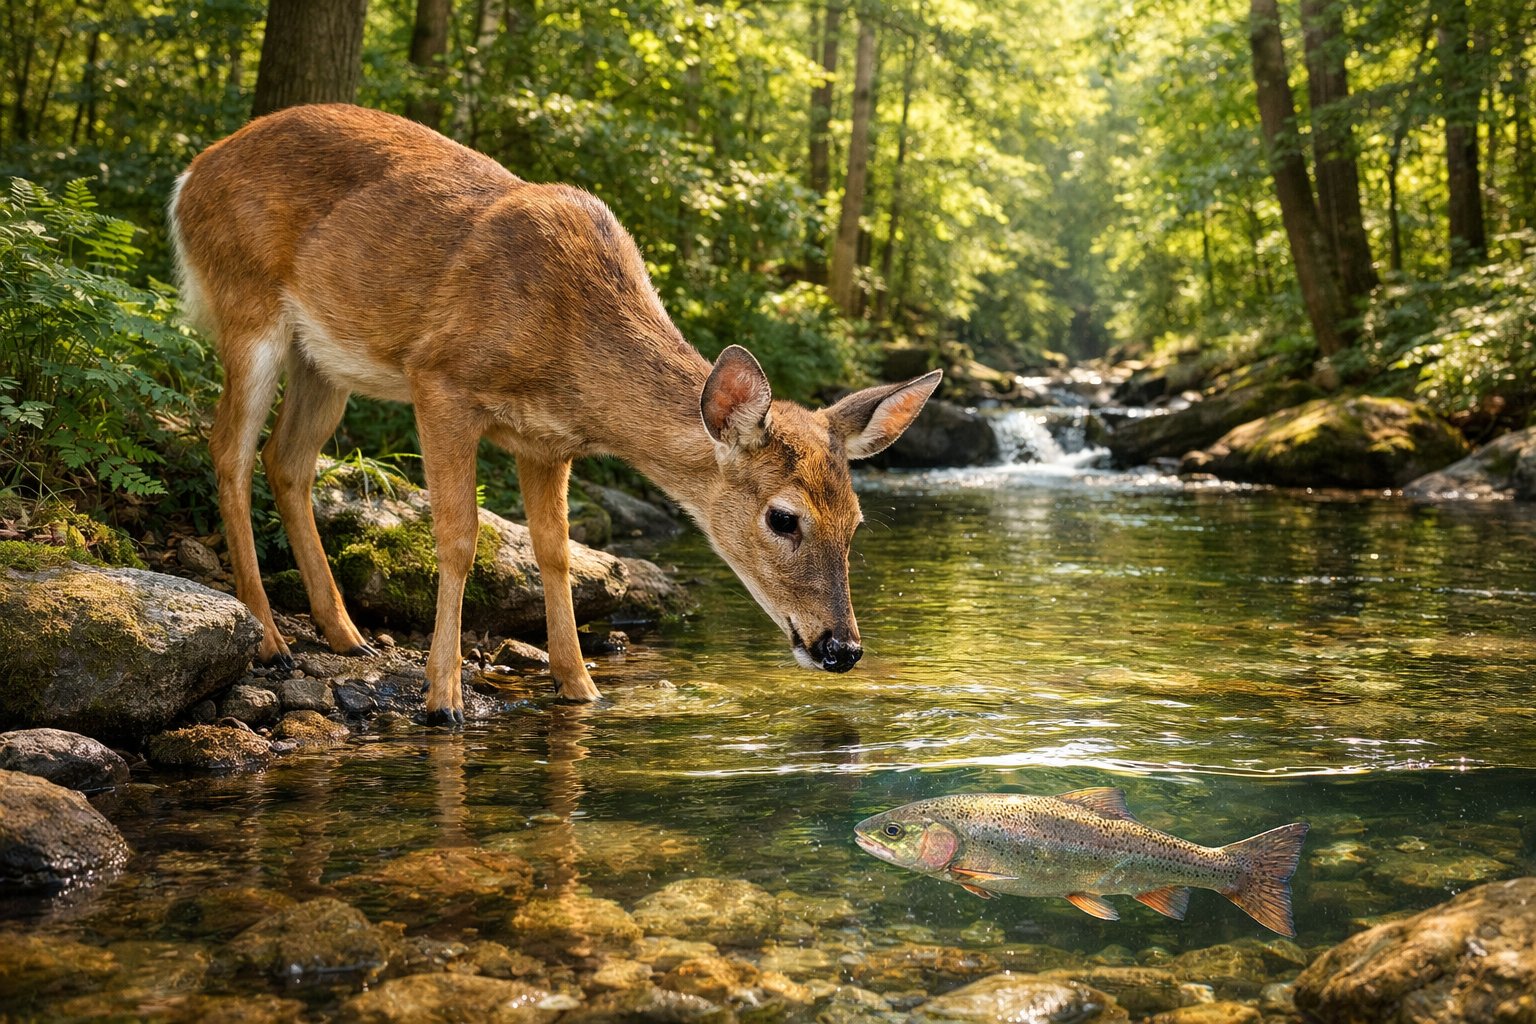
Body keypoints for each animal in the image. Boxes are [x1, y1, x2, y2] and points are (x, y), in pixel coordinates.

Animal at [169, 104, 941, 724]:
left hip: (326, 359)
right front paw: (443, 699)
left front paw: (581, 688)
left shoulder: (547, 441)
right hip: (246, 305)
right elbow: (458, 536)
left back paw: (344, 633)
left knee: (288, 460)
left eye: (856, 521)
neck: (570, 352)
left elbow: (557, 551)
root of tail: (190, 175)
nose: (842, 647)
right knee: (228, 449)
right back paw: (269, 638)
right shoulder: (439, 380)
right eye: (783, 518)